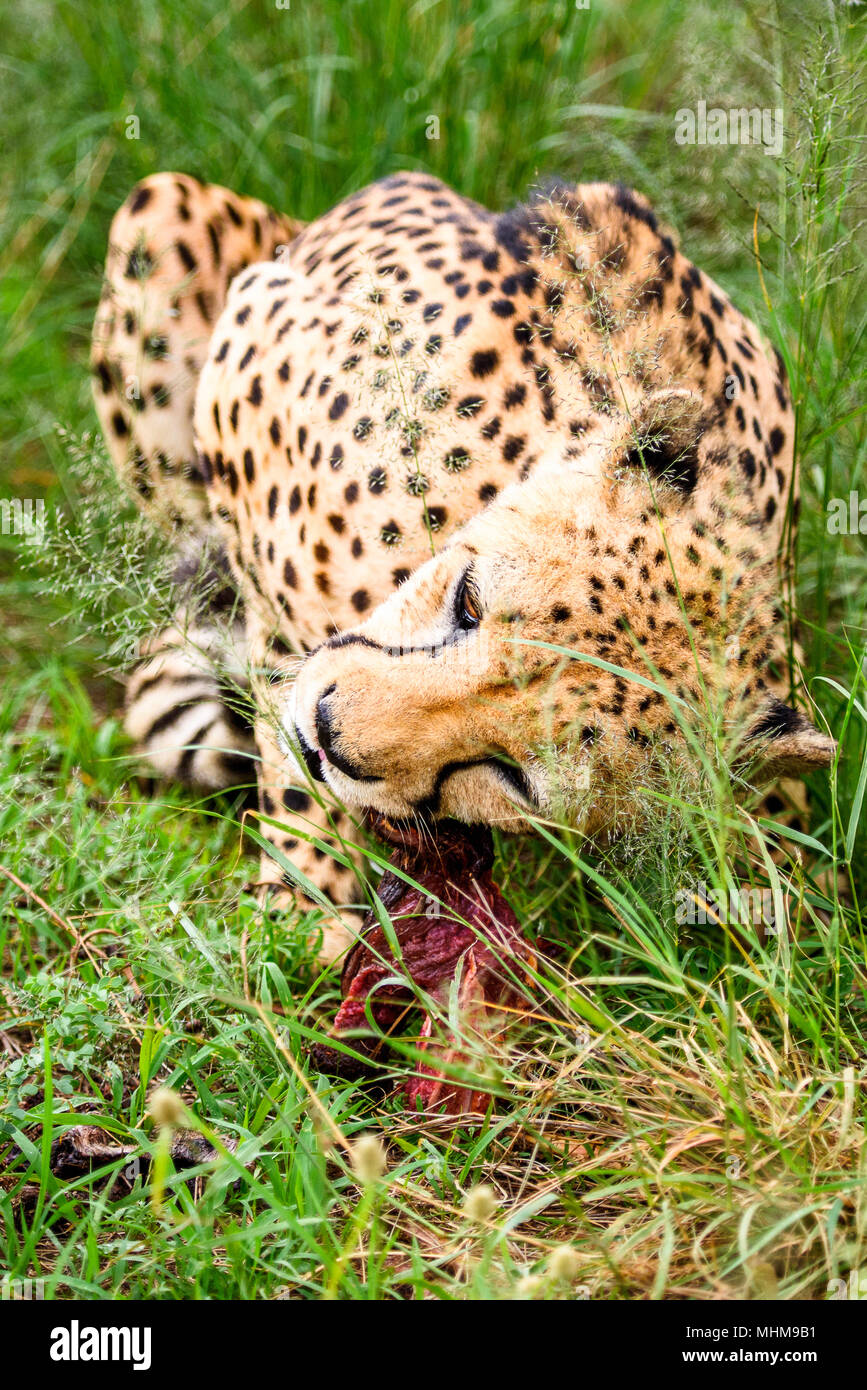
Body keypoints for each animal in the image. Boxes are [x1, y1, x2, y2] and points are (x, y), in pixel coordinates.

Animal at [91, 169, 835, 962]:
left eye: (507, 776)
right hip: (162, 210)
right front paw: (303, 898)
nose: (329, 730)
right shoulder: (255, 325)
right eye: (470, 602)